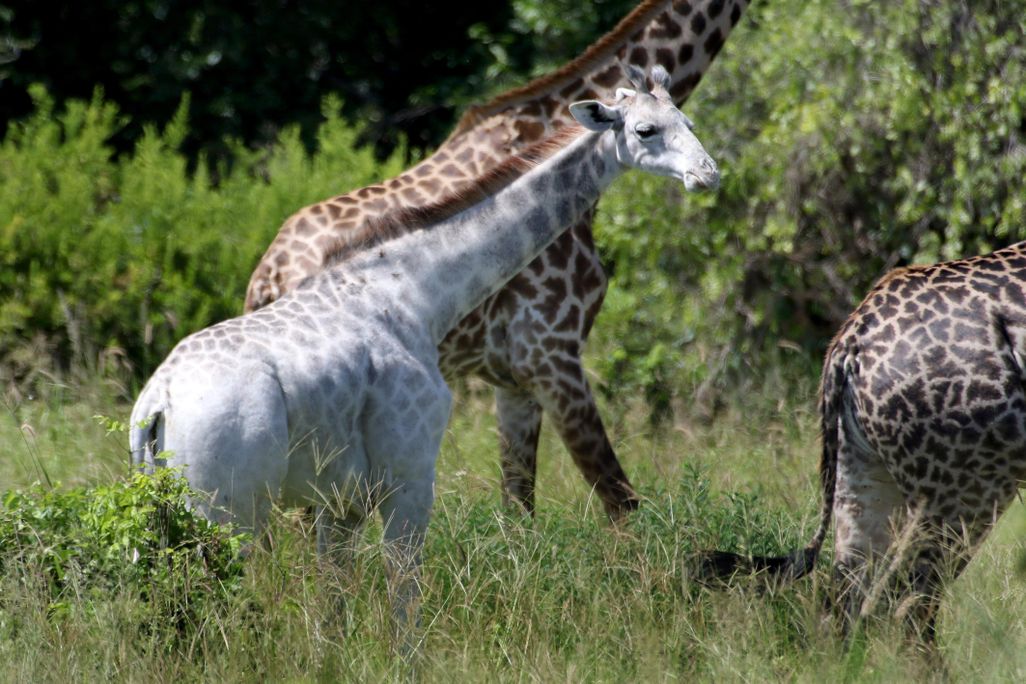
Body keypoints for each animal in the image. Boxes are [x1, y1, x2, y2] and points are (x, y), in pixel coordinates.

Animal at [131, 69, 719, 637]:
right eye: (645, 129)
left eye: (687, 121)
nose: (708, 174)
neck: (419, 291)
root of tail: (154, 404)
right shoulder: (409, 475)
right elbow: (404, 605)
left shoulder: (339, 501)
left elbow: (332, 612)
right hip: (227, 511)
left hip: (167, 517)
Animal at [244, 0, 749, 519]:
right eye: (645, 130)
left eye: (691, 125)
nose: (709, 174)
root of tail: (267, 277)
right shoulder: (552, 353)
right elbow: (620, 502)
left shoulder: (513, 379)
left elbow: (519, 506)